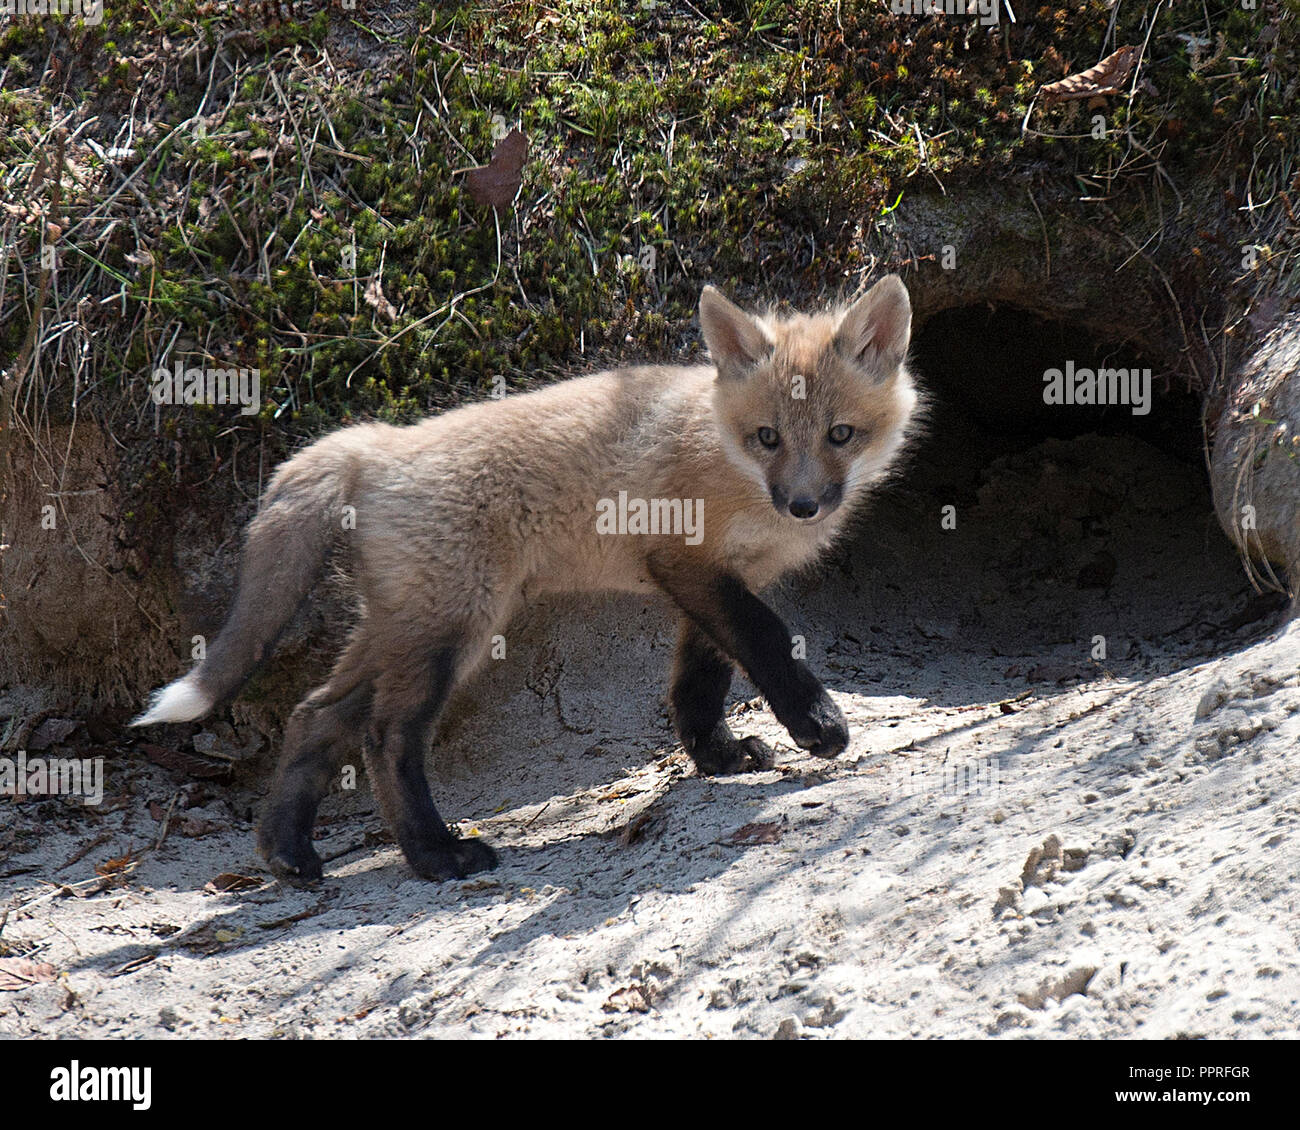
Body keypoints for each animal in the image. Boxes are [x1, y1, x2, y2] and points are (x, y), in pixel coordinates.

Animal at [132, 275, 920, 883]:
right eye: (768, 438)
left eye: (840, 434)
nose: (805, 505)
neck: (726, 458)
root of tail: (377, 445)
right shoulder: (689, 564)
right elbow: (768, 641)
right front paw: (817, 723)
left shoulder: (712, 583)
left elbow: (701, 683)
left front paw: (720, 759)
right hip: (454, 631)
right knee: (385, 738)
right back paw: (437, 856)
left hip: (402, 627)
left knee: (315, 714)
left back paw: (289, 852)